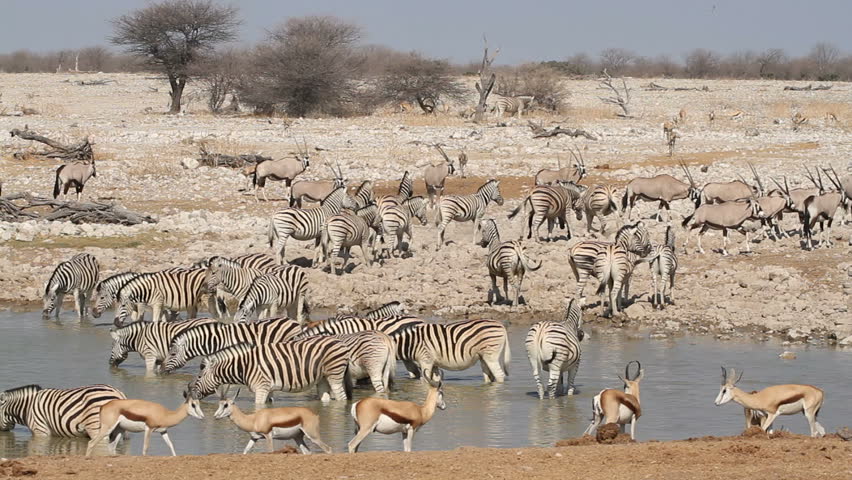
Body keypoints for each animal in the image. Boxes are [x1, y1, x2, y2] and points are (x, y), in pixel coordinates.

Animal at [188, 337, 351, 405]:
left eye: (199, 377)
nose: (189, 396)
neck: (244, 366)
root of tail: (340, 341)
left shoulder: (261, 387)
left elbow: (258, 406)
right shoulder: (268, 389)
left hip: (334, 374)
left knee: (342, 398)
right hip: (322, 378)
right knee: (326, 398)